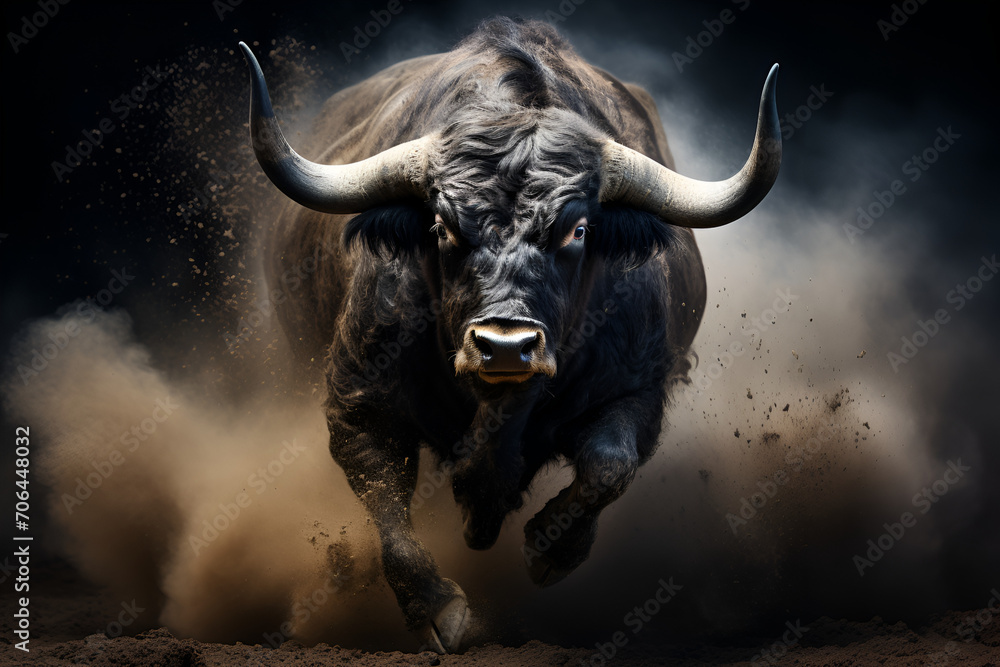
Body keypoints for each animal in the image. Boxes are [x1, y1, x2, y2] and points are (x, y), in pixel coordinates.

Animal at [238, 17, 780, 653]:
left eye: (577, 229)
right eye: (442, 226)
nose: (504, 346)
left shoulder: (639, 391)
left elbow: (609, 465)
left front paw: (550, 548)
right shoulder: (358, 406)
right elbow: (386, 503)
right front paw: (440, 608)